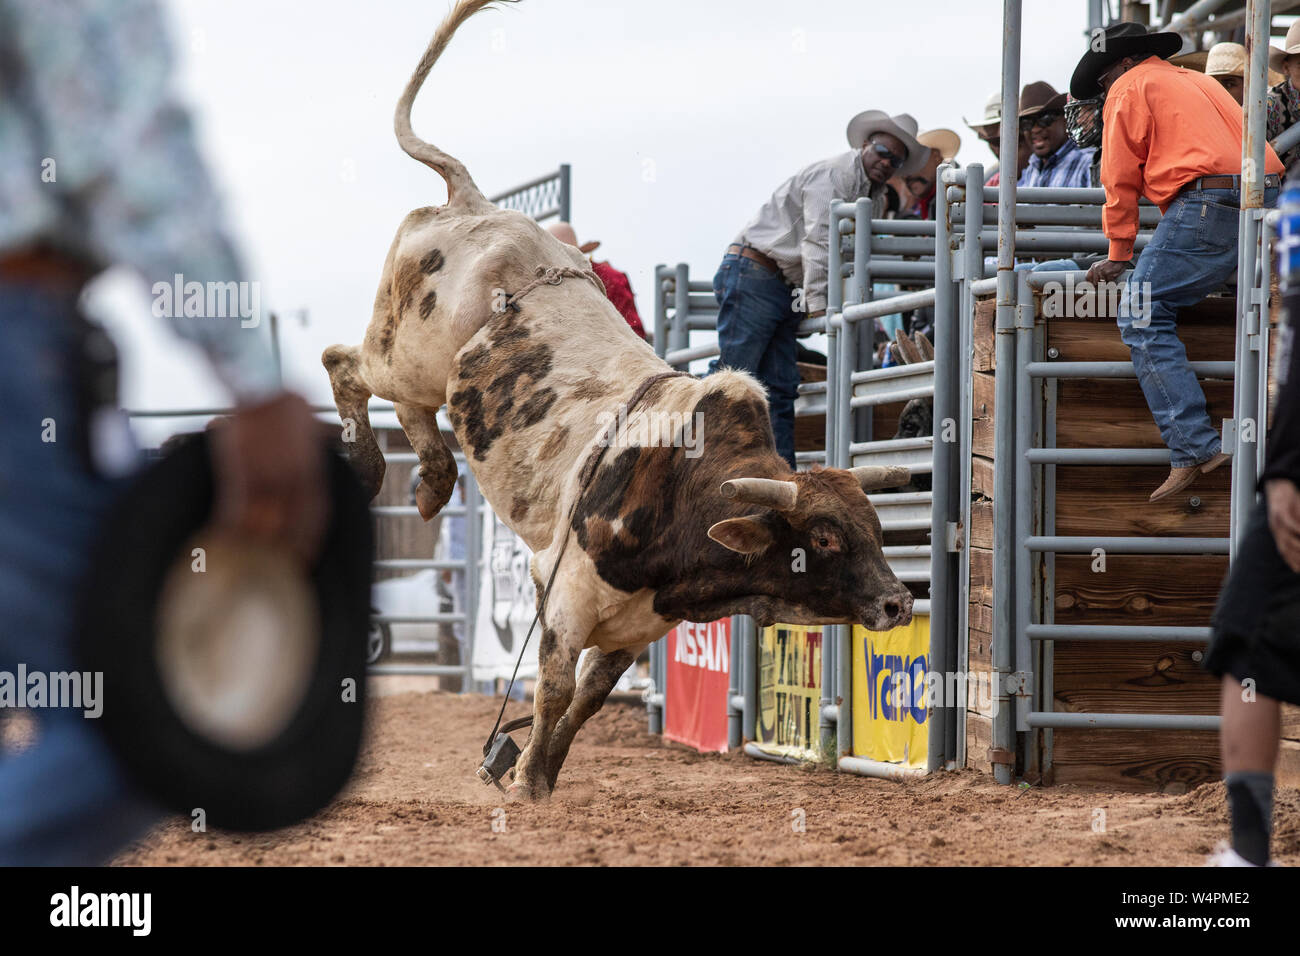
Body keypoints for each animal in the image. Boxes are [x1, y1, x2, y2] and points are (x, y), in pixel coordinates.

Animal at [323, 0, 914, 800]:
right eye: (823, 538)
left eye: (877, 527)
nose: (898, 602)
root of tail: (473, 202)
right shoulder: (565, 600)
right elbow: (550, 692)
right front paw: (527, 785)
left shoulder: (635, 631)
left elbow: (583, 704)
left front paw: (537, 775)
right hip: (401, 351)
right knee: (344, 365)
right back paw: (371, 465)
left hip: (427, 374)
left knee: (414, 413)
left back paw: (433, 483)